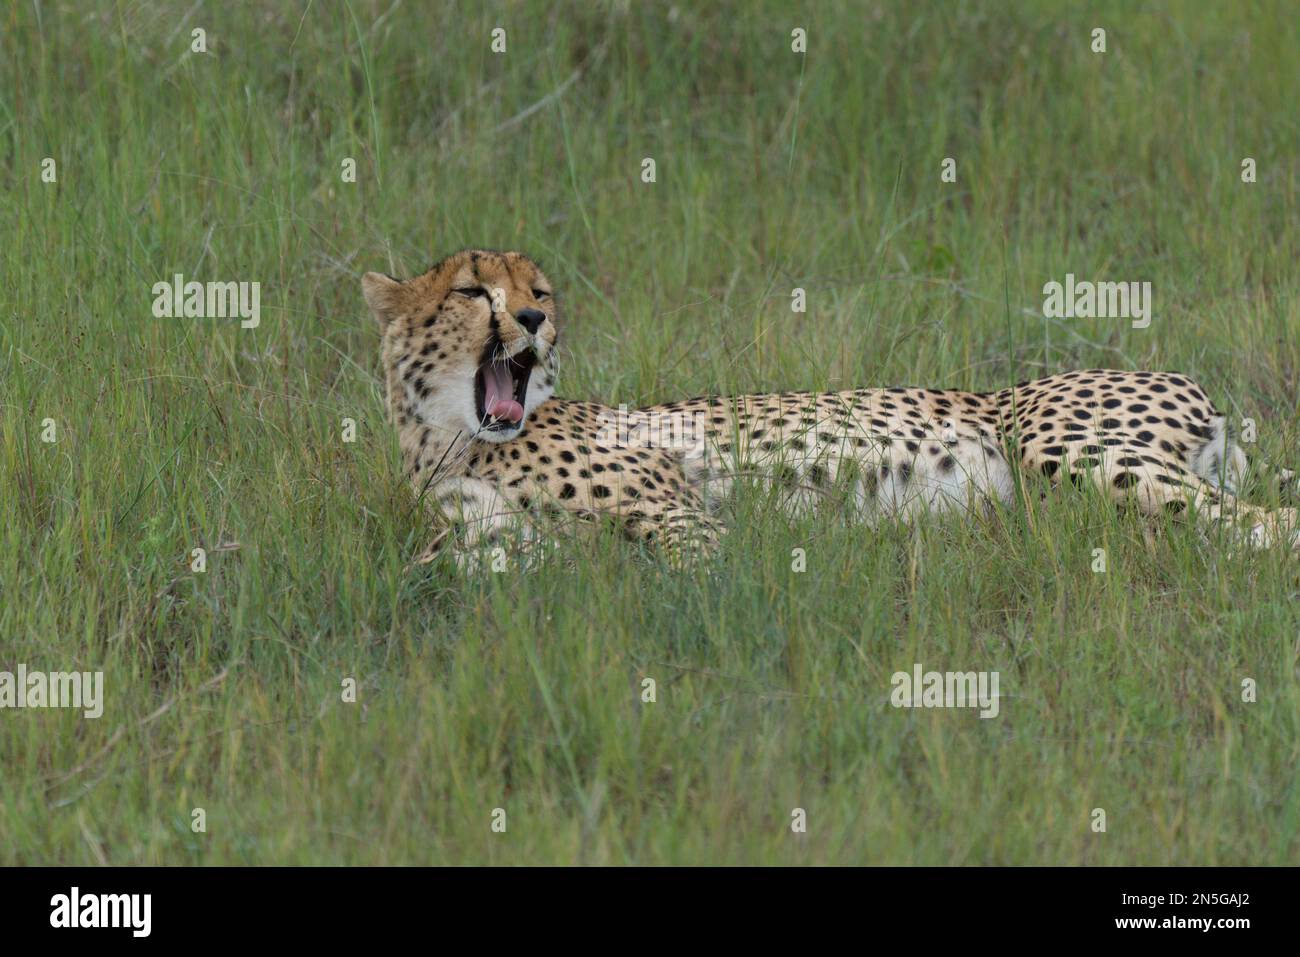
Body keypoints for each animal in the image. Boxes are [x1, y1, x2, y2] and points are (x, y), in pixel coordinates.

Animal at [361, 248, 1299, 570]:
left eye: (541, 289)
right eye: (474, 289)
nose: (533, 320)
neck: (445, 442)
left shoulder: (685, 517)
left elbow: (690, 569)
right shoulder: (493, 543)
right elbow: (448, 567)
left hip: (1066, 447)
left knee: (1268, 521)